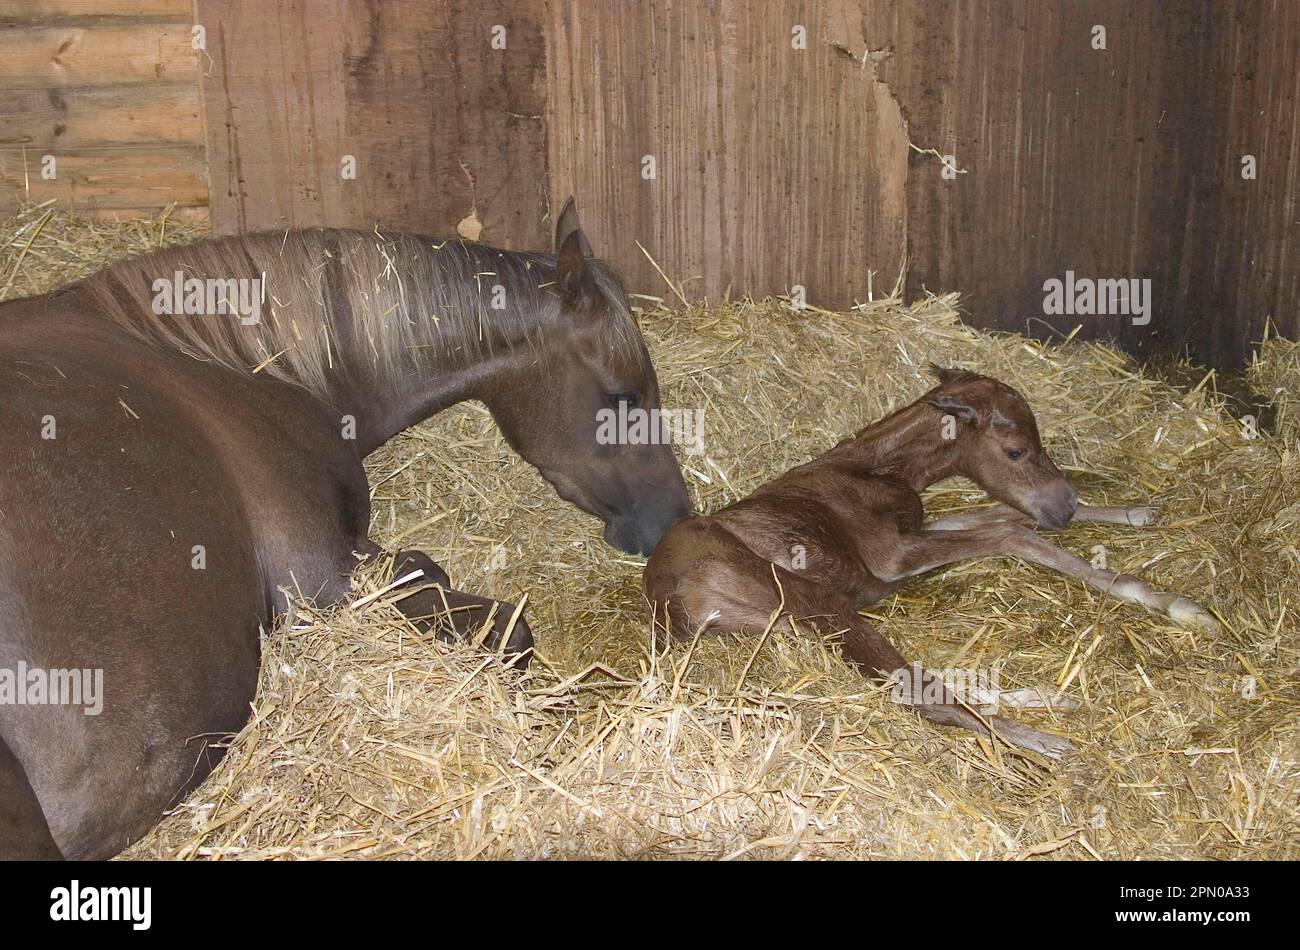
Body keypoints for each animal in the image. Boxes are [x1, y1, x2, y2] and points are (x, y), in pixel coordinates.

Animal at [645, 365, 1220, 758]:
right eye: (1015, 450)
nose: (1064, 506)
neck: (874, 469)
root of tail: (668, 605)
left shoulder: (916, 533)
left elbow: (995, 513)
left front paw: (1137, 513)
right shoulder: (891, 555)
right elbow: (1010, 531)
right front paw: (1175, 604)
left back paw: (1050, 699)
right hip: (818, 605)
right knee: (924, 695)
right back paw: (1044, 741)